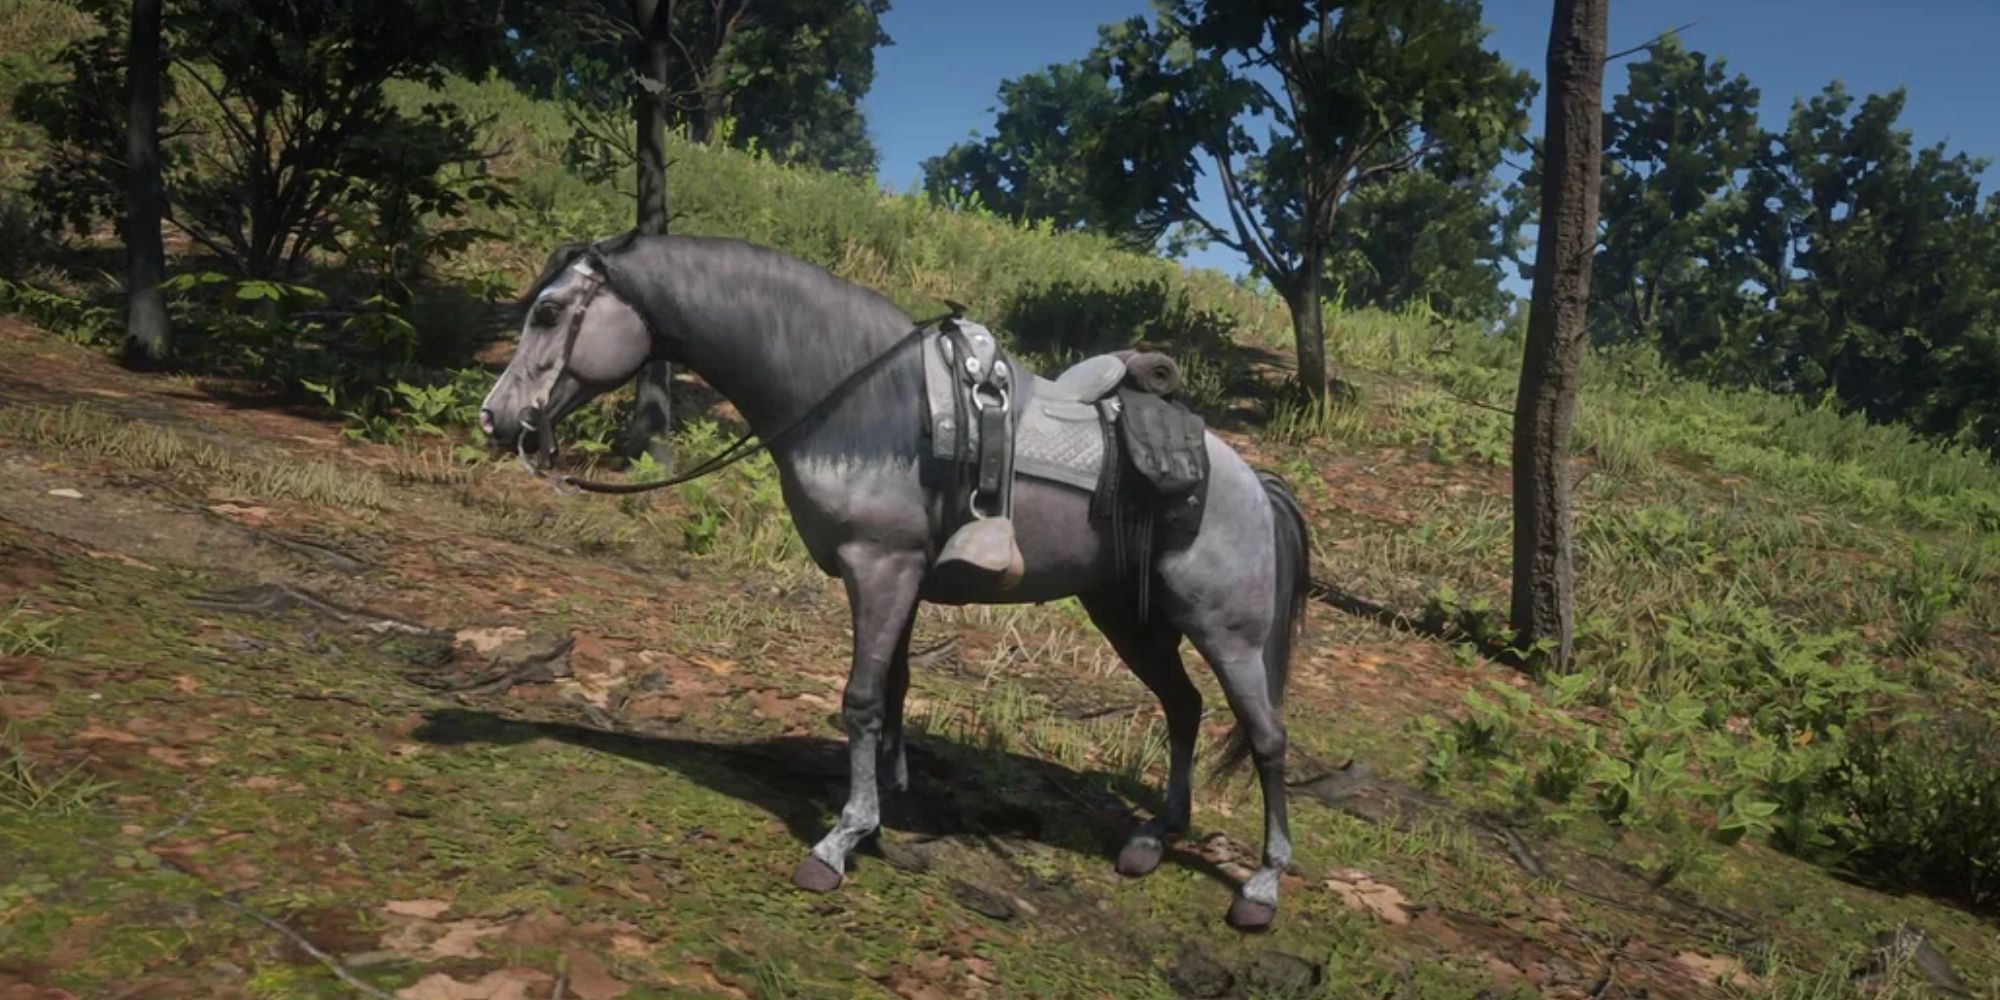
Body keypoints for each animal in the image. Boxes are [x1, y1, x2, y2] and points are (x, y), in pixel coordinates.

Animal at [476, 232, 1311, 929]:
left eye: (549, 311)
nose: (495, 418)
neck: (864, 403)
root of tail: (1251, 482)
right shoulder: (898, 579)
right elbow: (895, 689)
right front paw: (886, 800)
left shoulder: (879, 567)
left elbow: (862, 698)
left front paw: (842, 838)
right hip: (1130, 617)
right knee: (1184, 708)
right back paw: (1152, 838)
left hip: (1225, 629)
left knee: (1267, 738)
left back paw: (1263, 886)